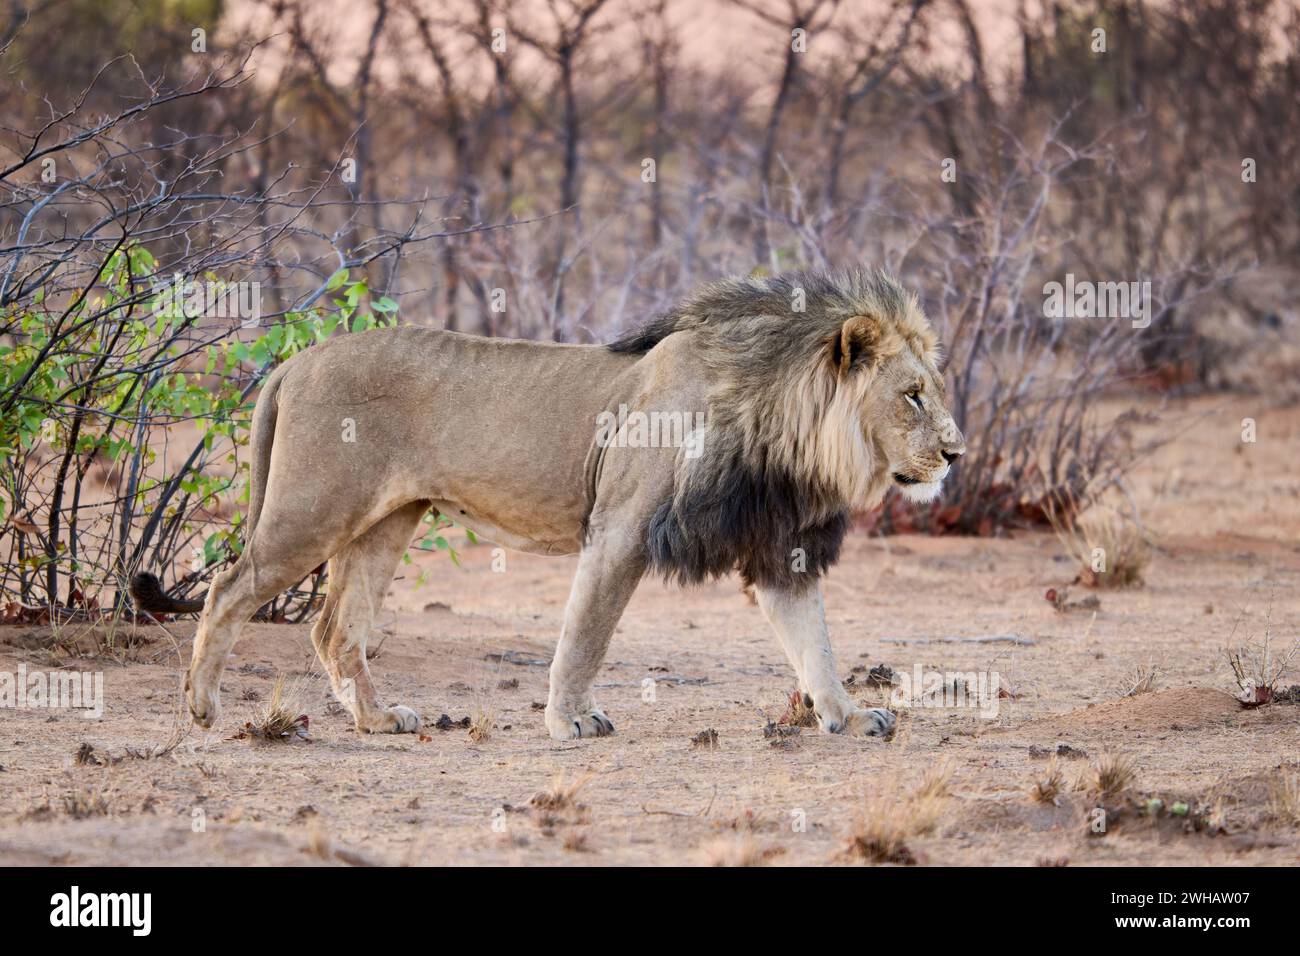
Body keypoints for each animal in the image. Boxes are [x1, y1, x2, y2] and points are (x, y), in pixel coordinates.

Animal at [132, 268, 965, 741]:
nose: (956, 455)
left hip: (386, 523)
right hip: (311, 512)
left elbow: (814, 644)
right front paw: (569, 720)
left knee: (335, 629)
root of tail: (294, 361)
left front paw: (847, 716)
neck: (782, 429)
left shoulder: (778, 548)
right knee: (228, 589)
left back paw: (377, 721)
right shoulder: (620, 530)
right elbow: (585, 637)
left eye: (933, 390)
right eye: (912, 396)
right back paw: (203, 709)